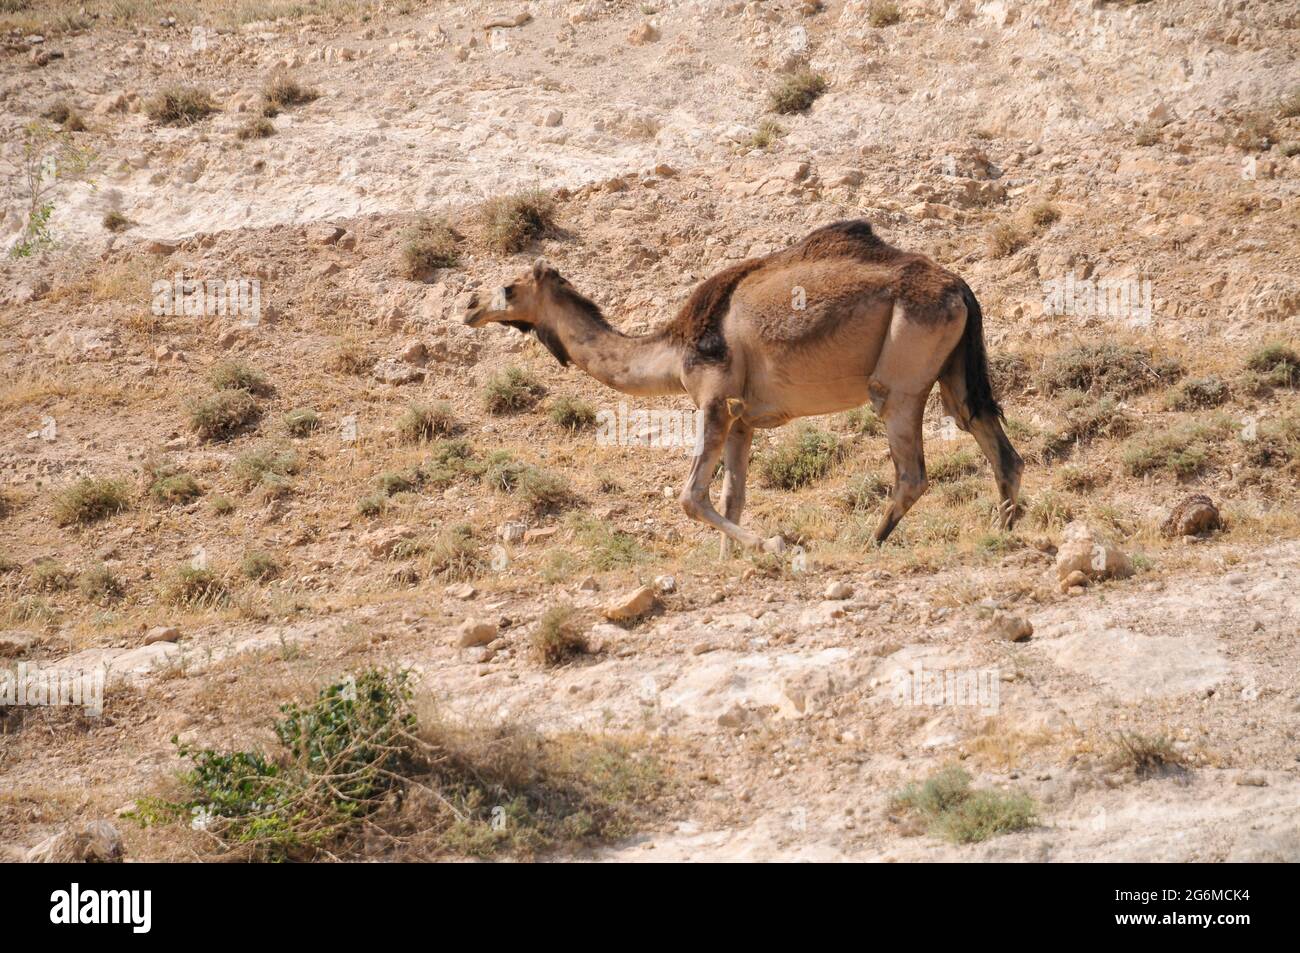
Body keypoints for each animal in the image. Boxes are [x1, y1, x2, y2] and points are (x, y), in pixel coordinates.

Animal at [463, 220, 1023, 556]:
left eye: (507, 289)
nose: (469, 308)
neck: (673, 350)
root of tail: (961, 288)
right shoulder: (742, 419)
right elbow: (732, 496)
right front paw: (730, 560)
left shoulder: (713, 398)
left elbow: (692, 497)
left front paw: (775, 546)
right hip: (953, 364)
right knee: (984, 429)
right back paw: (1004, 529)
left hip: (902, 371)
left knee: (911, 467)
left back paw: (870, 542)